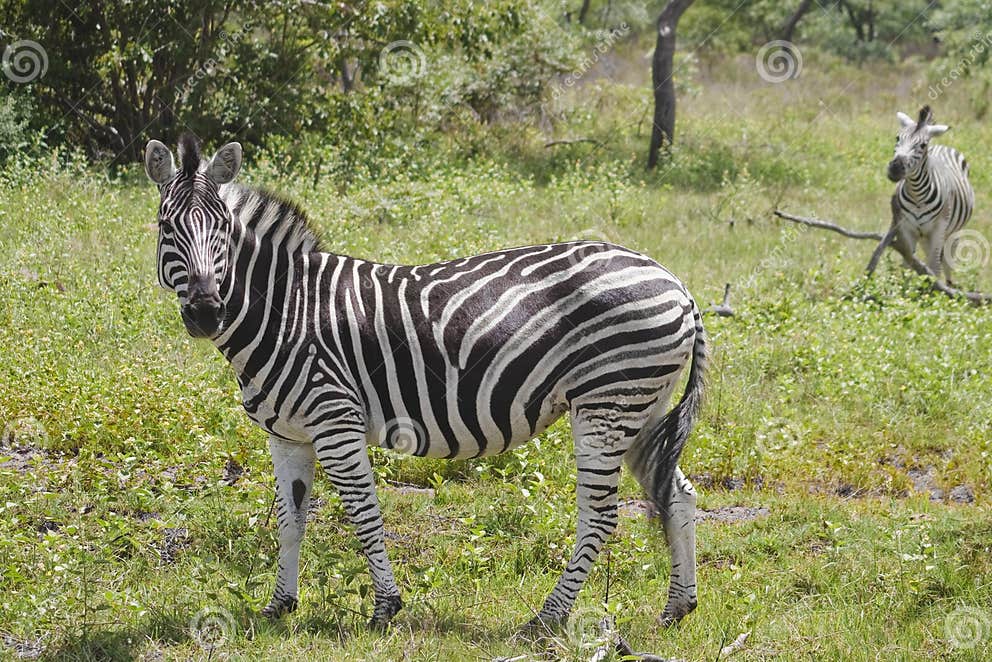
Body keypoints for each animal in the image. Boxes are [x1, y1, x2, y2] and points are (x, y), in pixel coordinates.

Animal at [143, 134, 707, 632]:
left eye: (222, 228)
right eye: (166, 227)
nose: (205, 311)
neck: (288, 310)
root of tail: (675, 282)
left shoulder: (335, 421)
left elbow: (363, 513)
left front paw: (384, 609)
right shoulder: (286, 436)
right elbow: (291, 519)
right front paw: (279, 606)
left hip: (607, 403)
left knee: (601, 515)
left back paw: (547, 619)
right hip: (640, 406)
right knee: (678, 493)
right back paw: (676, 609)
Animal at [886, 105, 974, 284]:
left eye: (922, 145)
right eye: (897, 138)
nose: (895, 168)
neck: (917, 195)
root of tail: (941, 145)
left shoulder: (938, 230)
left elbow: (935, 266)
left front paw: (933, 290)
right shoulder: (907, 228)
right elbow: (908, 265)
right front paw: (904, 289)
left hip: (950, 233)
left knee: (946, 258)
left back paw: (948, 284)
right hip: (924, 236)